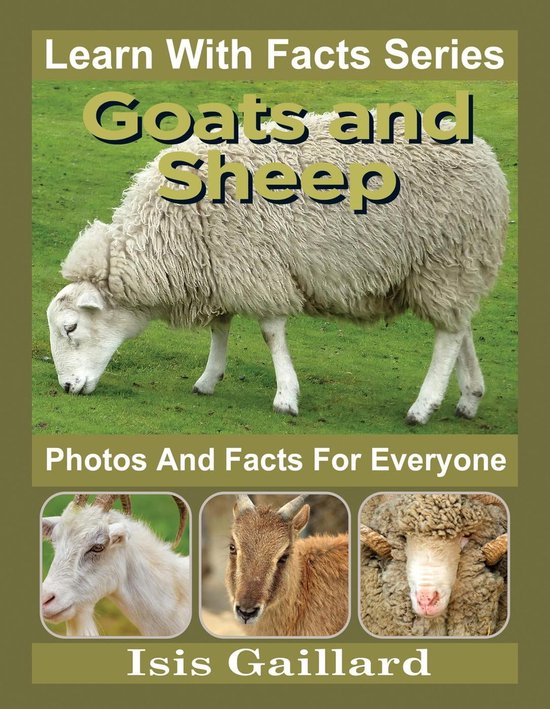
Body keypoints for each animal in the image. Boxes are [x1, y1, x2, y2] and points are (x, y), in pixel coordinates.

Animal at [46, 111, 509, 424]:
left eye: (71, 328)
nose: (67, 388)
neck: (171, 235)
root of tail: (486, 155)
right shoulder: (221, 267)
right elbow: (220, 328)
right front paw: (209, 379)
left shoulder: (254, 265)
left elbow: (270, 334)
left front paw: (286, 396)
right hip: (453, 267)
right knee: (461, 324)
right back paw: (470, 396)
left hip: (447, 258)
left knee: (448, 335)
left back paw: (423, 406)